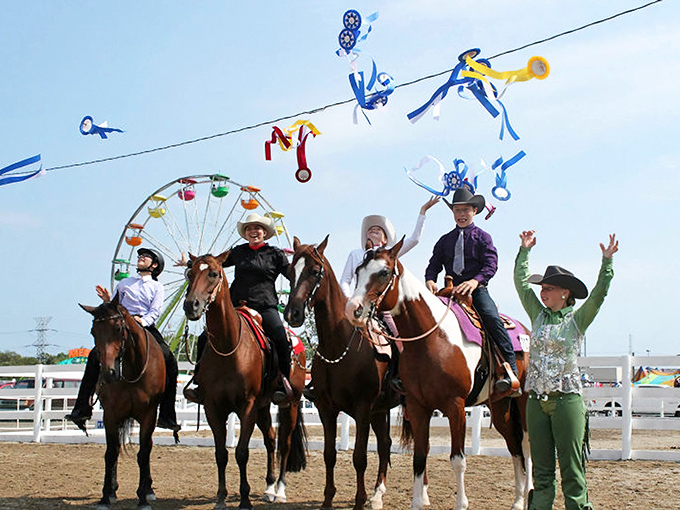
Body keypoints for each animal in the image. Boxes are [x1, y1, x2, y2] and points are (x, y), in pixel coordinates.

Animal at [80, 296, 168, 510]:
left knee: (148, 448)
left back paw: (149, 489)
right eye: (93, 331)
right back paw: (113, 490)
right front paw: (106, 496)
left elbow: (143, 453)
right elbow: (111, 453)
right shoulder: (110, 415)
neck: (132, 369)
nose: (108, 373)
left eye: (119, 328)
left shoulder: (149, 415)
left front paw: (143, 498)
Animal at [183, 251, 307, 510]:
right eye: (189, 273)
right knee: (270, 439)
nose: (191, 305)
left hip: (289, 403)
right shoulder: (212, 407)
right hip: (263, 407)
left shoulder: (247, 406)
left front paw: (245, 500)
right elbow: (221, 453)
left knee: (285, 444)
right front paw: (221, 498)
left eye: (214, 273)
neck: (228, 346)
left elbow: (242, 452)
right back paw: (269, 488)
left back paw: (280, 490)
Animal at [283, 236, 400, 510]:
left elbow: (359, 457)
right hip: (380, 411)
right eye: (290, 272)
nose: (292, 314)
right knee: (384, 445)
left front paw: (359, 501)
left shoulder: (363, 409)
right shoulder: (327, 409)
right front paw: (328, 499)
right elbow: (329, 455)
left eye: (315, 271)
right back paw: (378, 494)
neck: (339, 344)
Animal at [345, 239, 532, 510]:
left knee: (526, 443)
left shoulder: (456, 406)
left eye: (384, 272)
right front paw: (416, 503)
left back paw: (528, 492)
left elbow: (458, 459)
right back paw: (517, 500)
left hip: (525, 400)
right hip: (500, 406)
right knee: (514, 444)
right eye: (358, 271)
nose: (353, 310)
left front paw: (461, 504)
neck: (433, 339)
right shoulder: (417, 406)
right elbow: (419, 457)